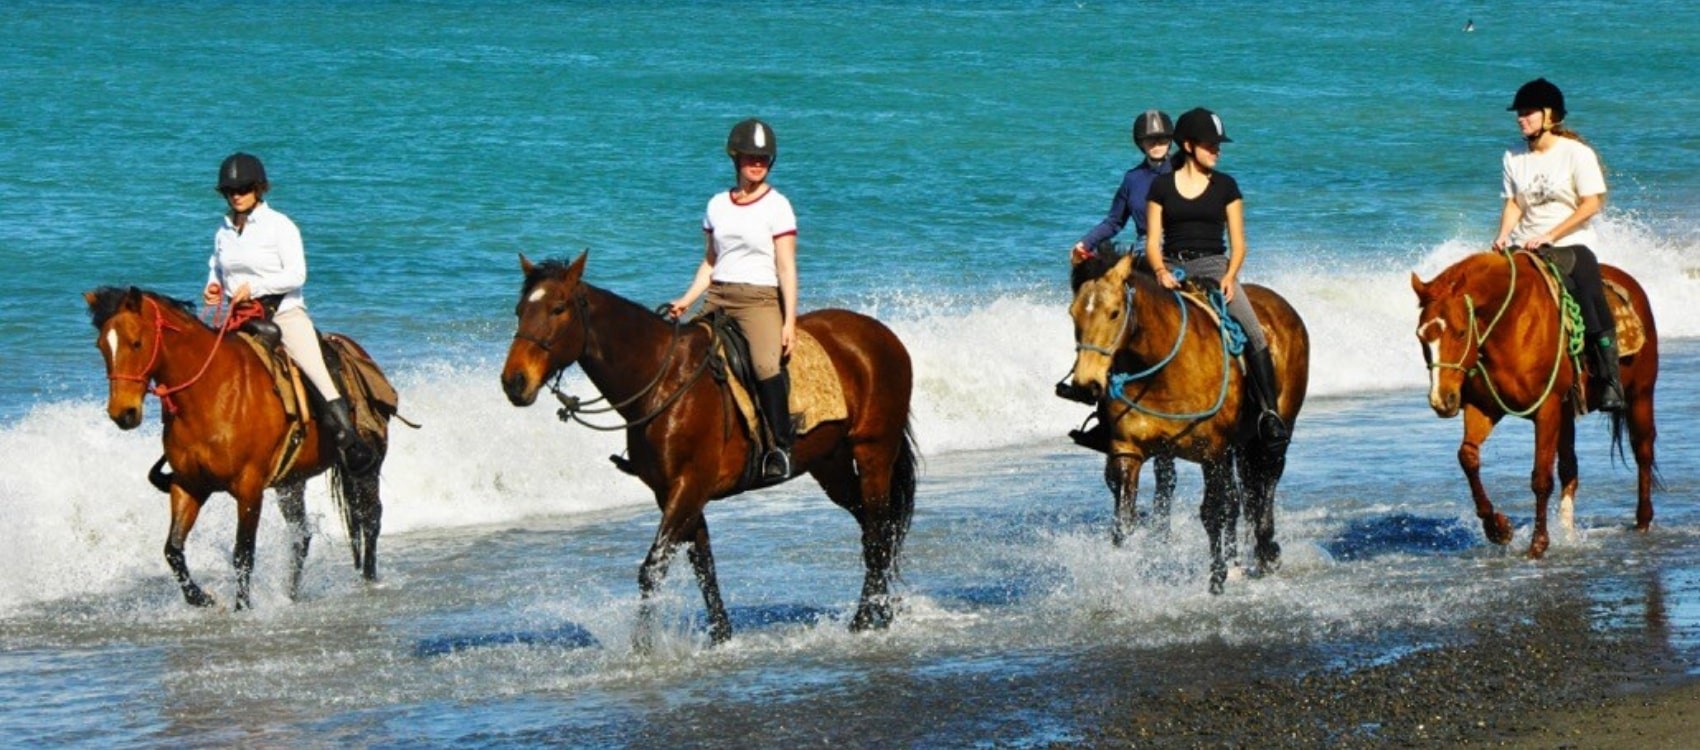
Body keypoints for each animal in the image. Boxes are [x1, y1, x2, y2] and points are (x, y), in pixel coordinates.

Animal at [84, 286, 389, 609]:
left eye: (136, 342)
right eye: (101, 346)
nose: (122, 413)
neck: (211, 393)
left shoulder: (249, 488)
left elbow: (243, 553)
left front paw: (243, 608)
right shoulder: (189, 485)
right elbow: (173, 550)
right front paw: (201, 598)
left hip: (366, 466)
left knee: (370, 518)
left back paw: (369, 581)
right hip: (291, 482)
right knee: (301, 536)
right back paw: (291, 595)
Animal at [500, 252, 918, 644]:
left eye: (558, 309)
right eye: (520, 311)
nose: (514, 382)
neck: (662, 381)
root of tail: (883, 335)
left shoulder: (689, 485)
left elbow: (653, 568)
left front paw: (643, 647)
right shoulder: (674, 492)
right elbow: (702, 563)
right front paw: (721, 636)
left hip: (873, 451)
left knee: (878, 532)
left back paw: (865, 621)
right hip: (831, 465)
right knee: (873, 529)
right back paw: (882, 611)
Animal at [1065, 251, 1310, 593]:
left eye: (1114, 313)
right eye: (1072, 313)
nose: (1086, 385)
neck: (1159, 369)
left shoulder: (1213, 451)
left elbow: (1213, 511)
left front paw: (1217, 577)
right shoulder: (1128, 450)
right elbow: (1124, 518)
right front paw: (1120, 578)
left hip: (1279, 425)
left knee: (1269, 477)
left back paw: (1266, 552)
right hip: (1241, 442)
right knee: (1246, 493)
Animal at [1410, 249, 1659, 558]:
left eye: (1460, 332)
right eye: (1421, 336)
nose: (1442, 400)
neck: (1510, 325)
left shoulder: (1546, 409)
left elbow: (1541, 478)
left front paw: (1538, 544)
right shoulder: (1484, 407)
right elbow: (1467, 457)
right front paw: (1498, 529)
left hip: (1640, 395)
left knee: (1643, 451)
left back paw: (1643, 521)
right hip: (1567, 412)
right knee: (1570, 468)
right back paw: (1567, 531)